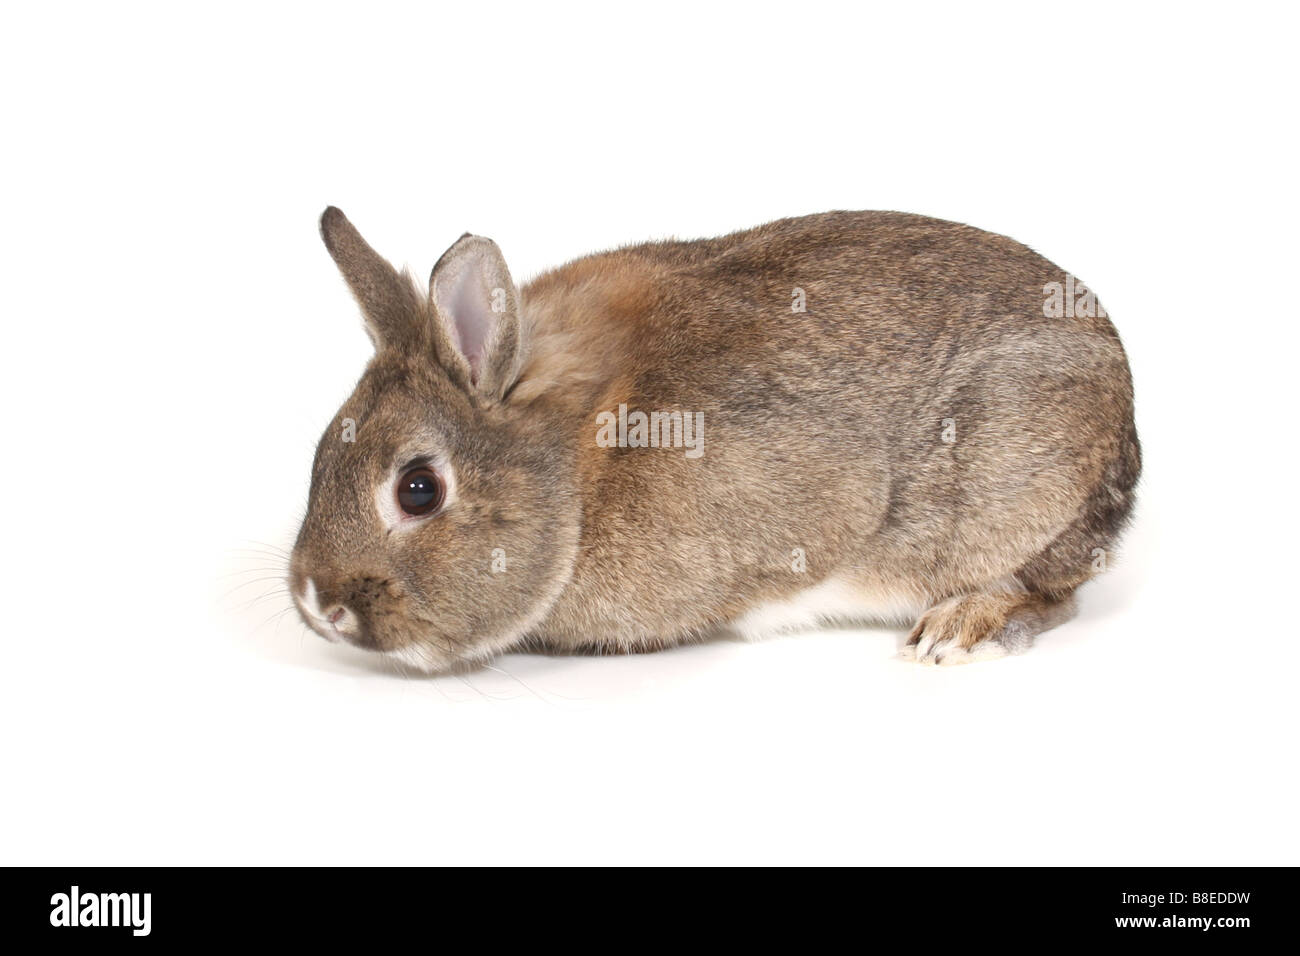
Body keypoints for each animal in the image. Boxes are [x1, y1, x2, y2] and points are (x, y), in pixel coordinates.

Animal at [289, 207, 1139, 670]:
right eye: (321, 453)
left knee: (1048, 589)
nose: (316, 601)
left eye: (418, 489)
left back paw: (956, 631)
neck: (573, 462)